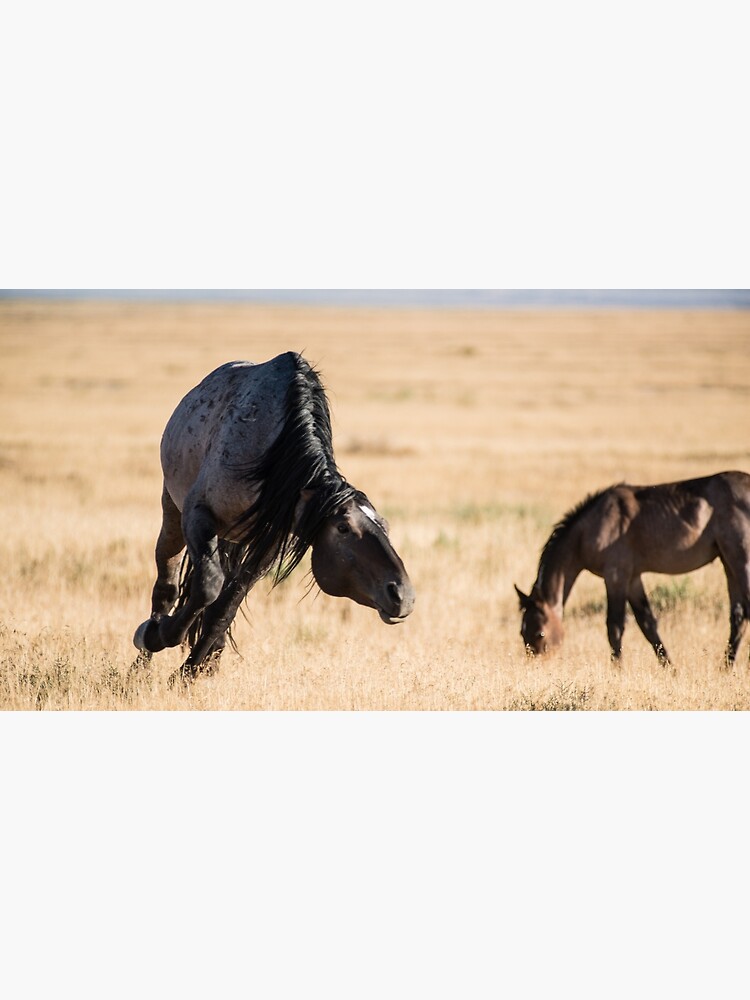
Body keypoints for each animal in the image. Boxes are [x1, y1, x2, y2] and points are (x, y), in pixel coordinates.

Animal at [133, 352, 415, 682]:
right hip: (172, 511)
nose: (402, 595)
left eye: (384, 524)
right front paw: (159, 637)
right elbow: (208, 586)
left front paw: (190, 672)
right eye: (344, 527)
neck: (271, 461)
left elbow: (225, 606)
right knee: (166, 588)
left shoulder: (268, 544)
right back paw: (140, 661)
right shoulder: (196, 515)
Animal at [515, 471, 750, 667]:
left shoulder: (615, 576)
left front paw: (617, 669)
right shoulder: (633, 578)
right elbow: (647, 624)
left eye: (540, 633)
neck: (589, 528)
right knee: (738, 616)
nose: (537, 666)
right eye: (522, 632)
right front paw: (670, 668)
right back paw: (725, 667)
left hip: (741, 561)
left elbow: (615, 626)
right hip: (728, 562)